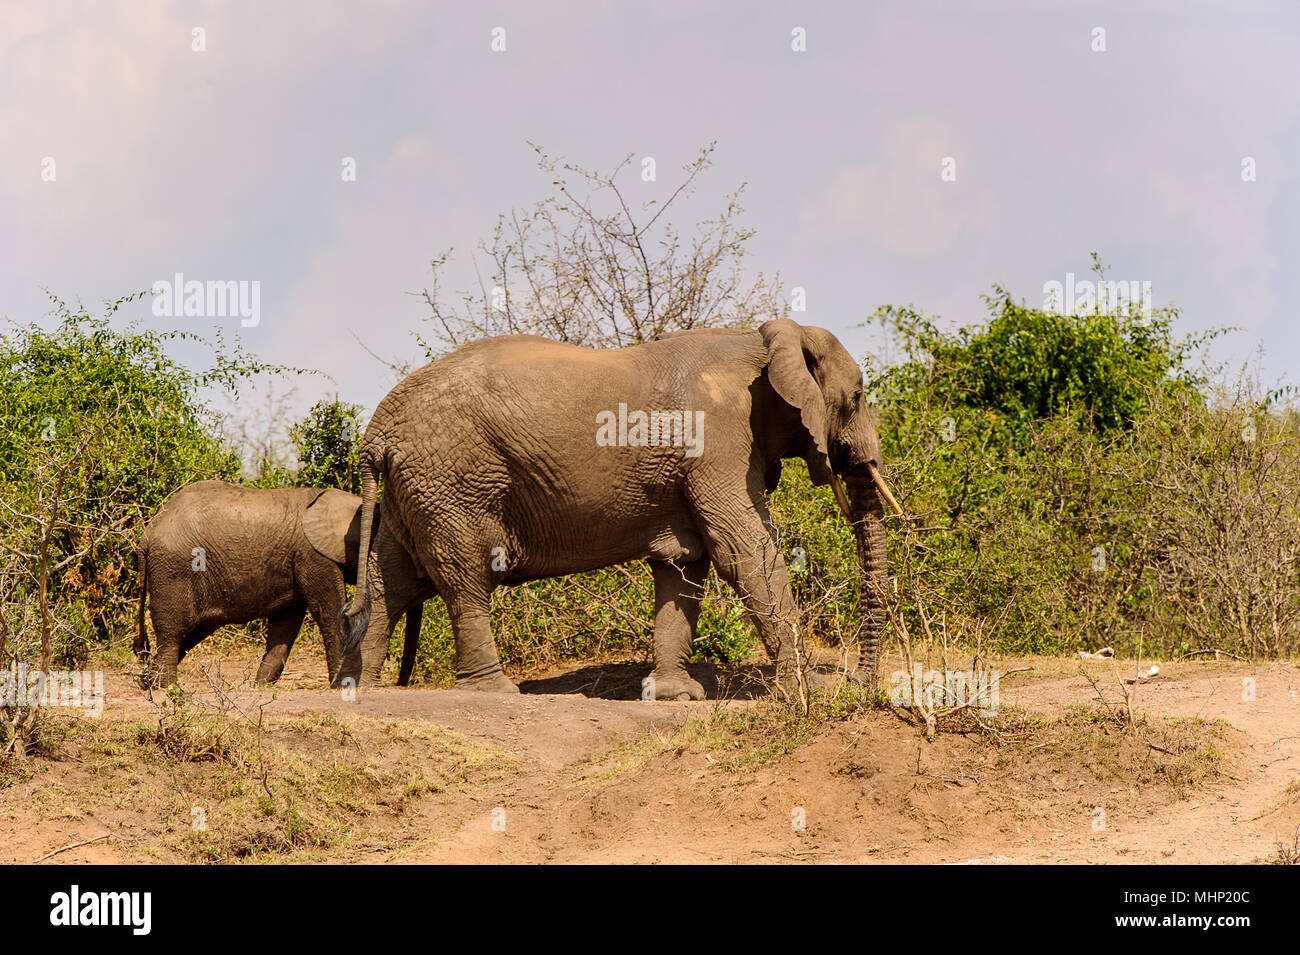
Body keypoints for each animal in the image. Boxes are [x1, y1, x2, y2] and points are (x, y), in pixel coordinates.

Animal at [136, 480, 432, 686]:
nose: (400, 683)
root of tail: (147, 535)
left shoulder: (294, 564)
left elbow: (287, 622)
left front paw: (260, 686)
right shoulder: (313, 556)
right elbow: (329, 611)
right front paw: (340, 682)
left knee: (192, 630)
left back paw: (147, 682)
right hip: (174, 570)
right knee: (173, 629)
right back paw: (168, 687)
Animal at [338, 318, 900, 699]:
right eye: (857, 397)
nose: (861, 679)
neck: (762, 338)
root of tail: (375, 431)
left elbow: (684, 564)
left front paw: (676, 697)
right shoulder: (719, 441)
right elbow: (744, 551)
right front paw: (811, 690)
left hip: (416, 485)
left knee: (392, 578)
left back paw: (357, 690)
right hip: (453, 478)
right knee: (466, 575)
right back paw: (495, 692)